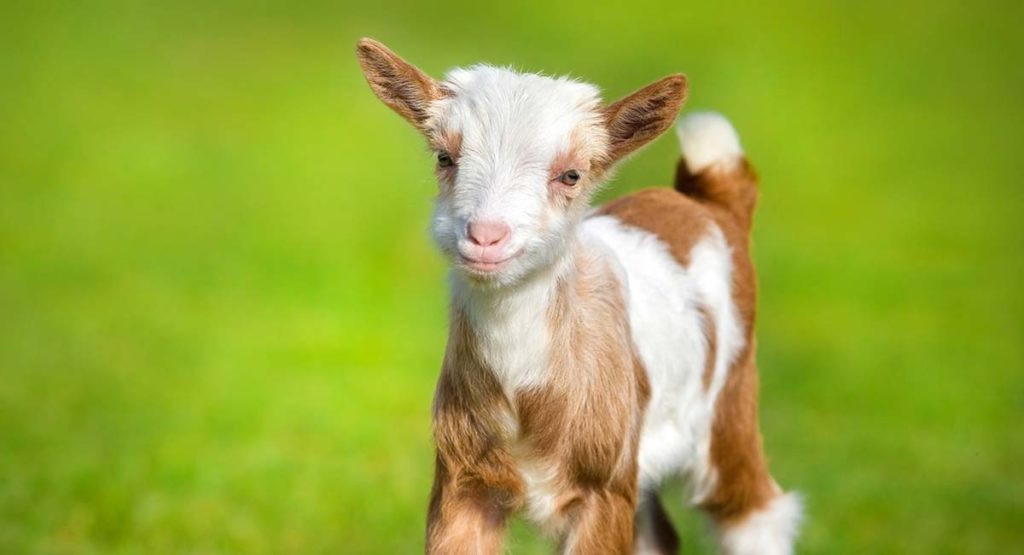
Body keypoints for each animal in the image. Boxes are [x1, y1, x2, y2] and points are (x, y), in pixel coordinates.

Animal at [356, 38, 801, 555]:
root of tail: (709, 201)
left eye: (571, 175)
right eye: (445, 159)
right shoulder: (462, 478)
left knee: (754, 509)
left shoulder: (603, 487)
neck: (525, 395)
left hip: (730, 398)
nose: (486, 236)